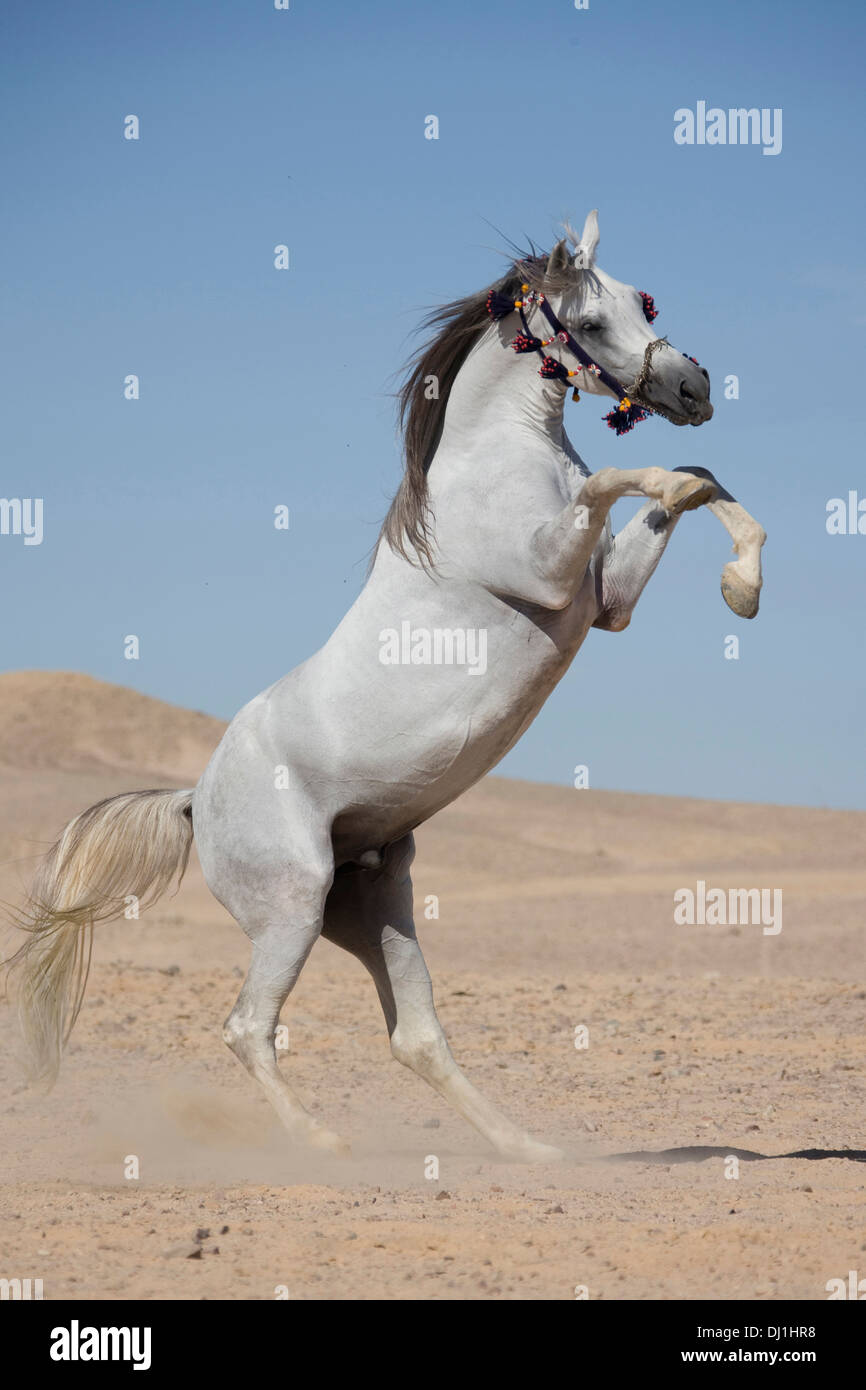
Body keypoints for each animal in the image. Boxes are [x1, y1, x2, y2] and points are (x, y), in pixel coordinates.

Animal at [7, 210, 766, 1163]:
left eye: (642, 300)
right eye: (591, 321)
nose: (693, 385)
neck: (500, 458)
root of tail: (192, 799)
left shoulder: (607, 605)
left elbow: (698, 482)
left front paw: (744, 586)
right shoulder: (553, 575)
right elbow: (635, 479)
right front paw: (734, 569)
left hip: (373, 904)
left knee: (416, 1038)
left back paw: (528, 1151)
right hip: (292, 908)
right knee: (248, 1027)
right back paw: (323, 1145)